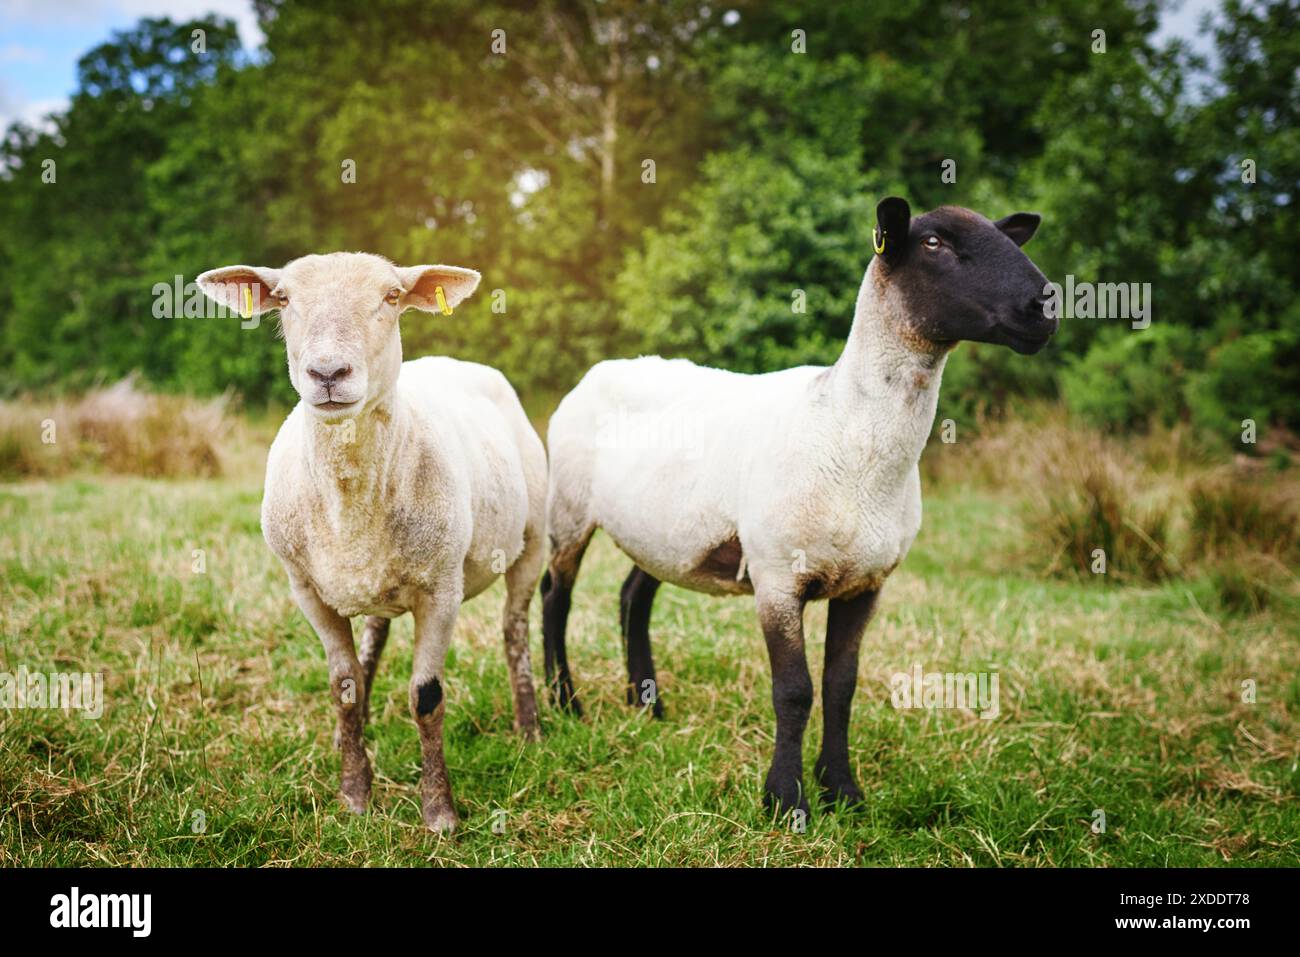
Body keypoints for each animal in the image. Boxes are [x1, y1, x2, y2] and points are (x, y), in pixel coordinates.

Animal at [197, 252, 547, 834]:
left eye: (391, 296)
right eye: (284, 299)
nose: (328, 374)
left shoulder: (442, 589)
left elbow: (426, 698)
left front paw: (439, 812)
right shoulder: (306, 590)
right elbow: (345, 686)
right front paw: (354, 793)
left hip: (534, 539)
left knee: (514, 628)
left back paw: (531, 727)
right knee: (375, 639)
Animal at [540, 197, 1056, 817]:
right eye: (934, 243)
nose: (1045, 306)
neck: (841, 425)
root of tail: (603, 367)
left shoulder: (866, 584)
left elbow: (840, 686)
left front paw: (843, 791)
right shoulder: (777, 576)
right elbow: (794, 691)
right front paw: (786, 800)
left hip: (664, 530)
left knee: (631, 598)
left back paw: (649, 707)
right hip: (569, 507)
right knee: (556, 596)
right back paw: (564, 703)